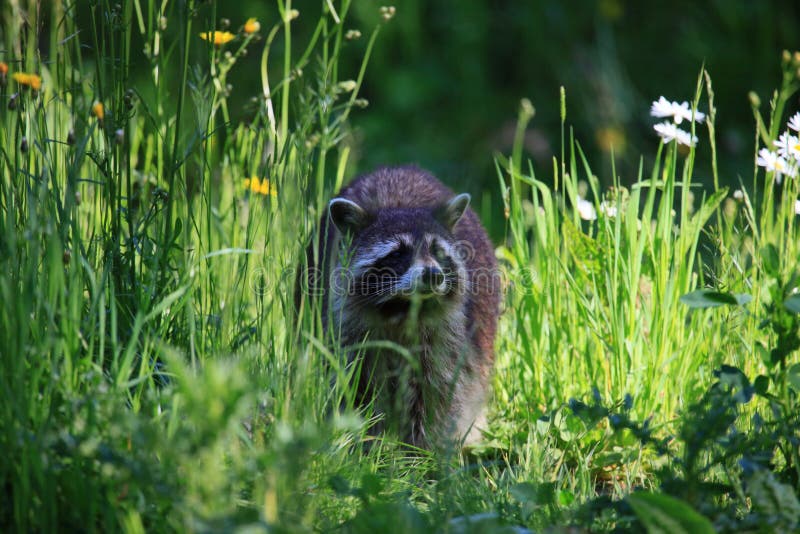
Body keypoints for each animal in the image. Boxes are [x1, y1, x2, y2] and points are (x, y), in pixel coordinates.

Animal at [298, 166, 500, 448]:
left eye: (438, 251)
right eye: (397, 253)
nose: (433, 275)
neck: (400, 308)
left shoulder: (447, 334)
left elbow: (438, 392)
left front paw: (421, 449)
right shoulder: (345, 329)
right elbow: (352, 385)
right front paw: (364, 442)